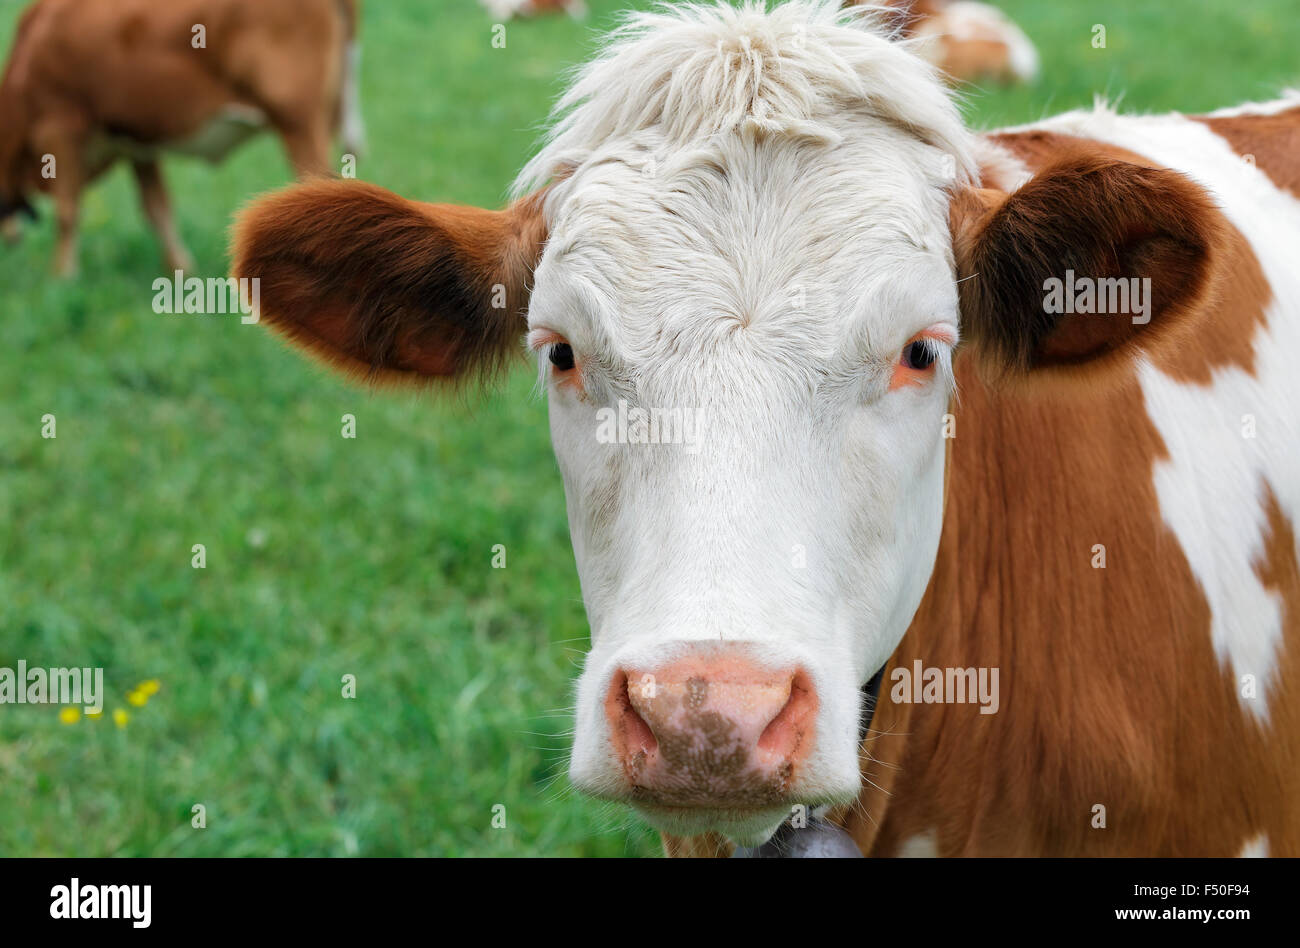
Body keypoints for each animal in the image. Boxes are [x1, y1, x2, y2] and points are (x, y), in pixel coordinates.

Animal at [0, 0, 365, 277]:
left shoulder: (57, 128)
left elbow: (67, 212)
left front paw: (62, 277)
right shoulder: (138, 144)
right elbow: (157, 208)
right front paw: (181, 270)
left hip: (298, 122)